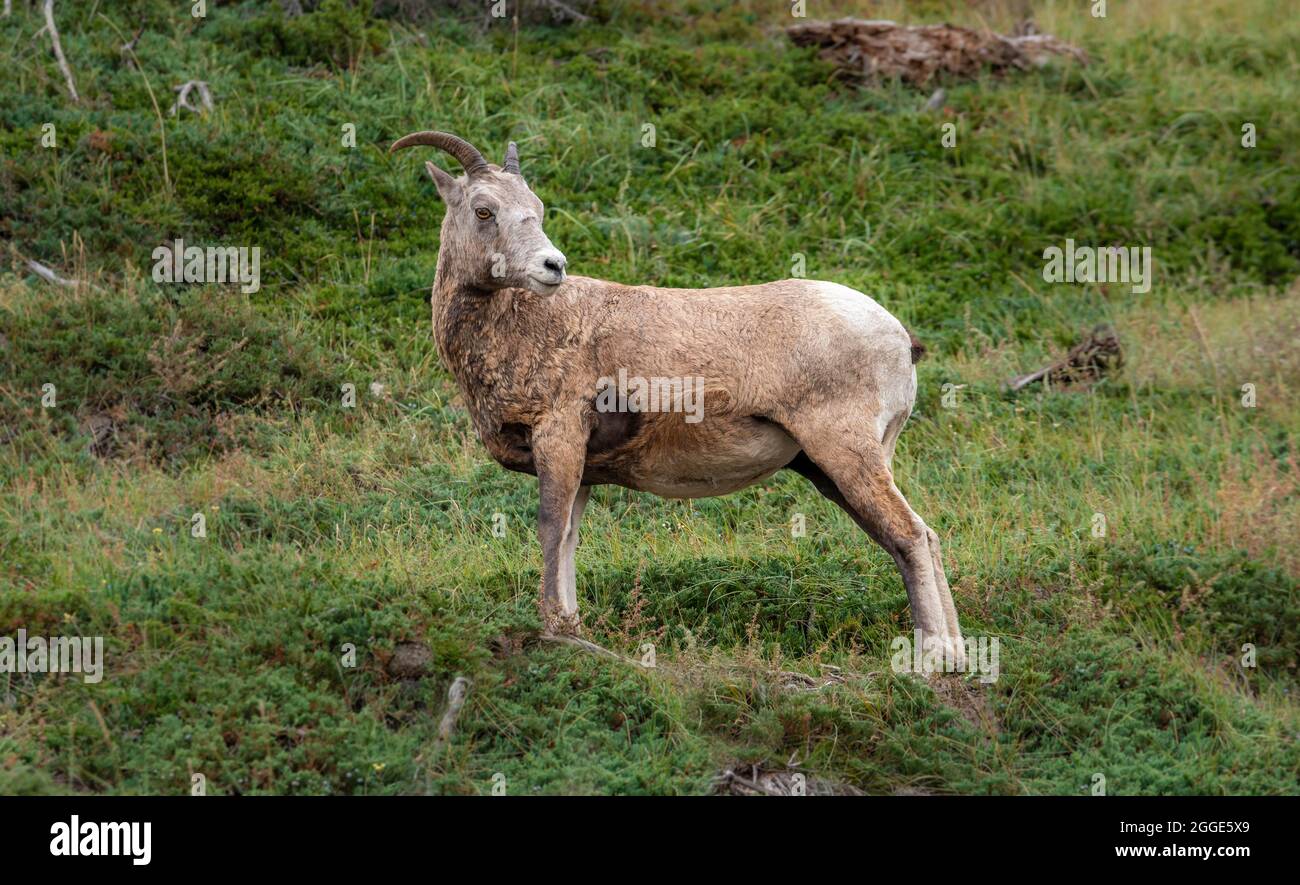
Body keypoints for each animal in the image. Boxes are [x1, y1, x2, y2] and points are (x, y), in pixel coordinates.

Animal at [391, 130, 965, 665]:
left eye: (536, 209)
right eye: (484, 210)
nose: (552, 266)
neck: (518, 330)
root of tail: (899, 338)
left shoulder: (558, 440)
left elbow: (551, 530)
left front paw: (554, 629)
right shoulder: (580, 467)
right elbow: (571, 535)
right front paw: (572, 625)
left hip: (846, 451)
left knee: (910, 536)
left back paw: (933, 658)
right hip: (833, 467)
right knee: (921, 538)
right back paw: (956, 655)